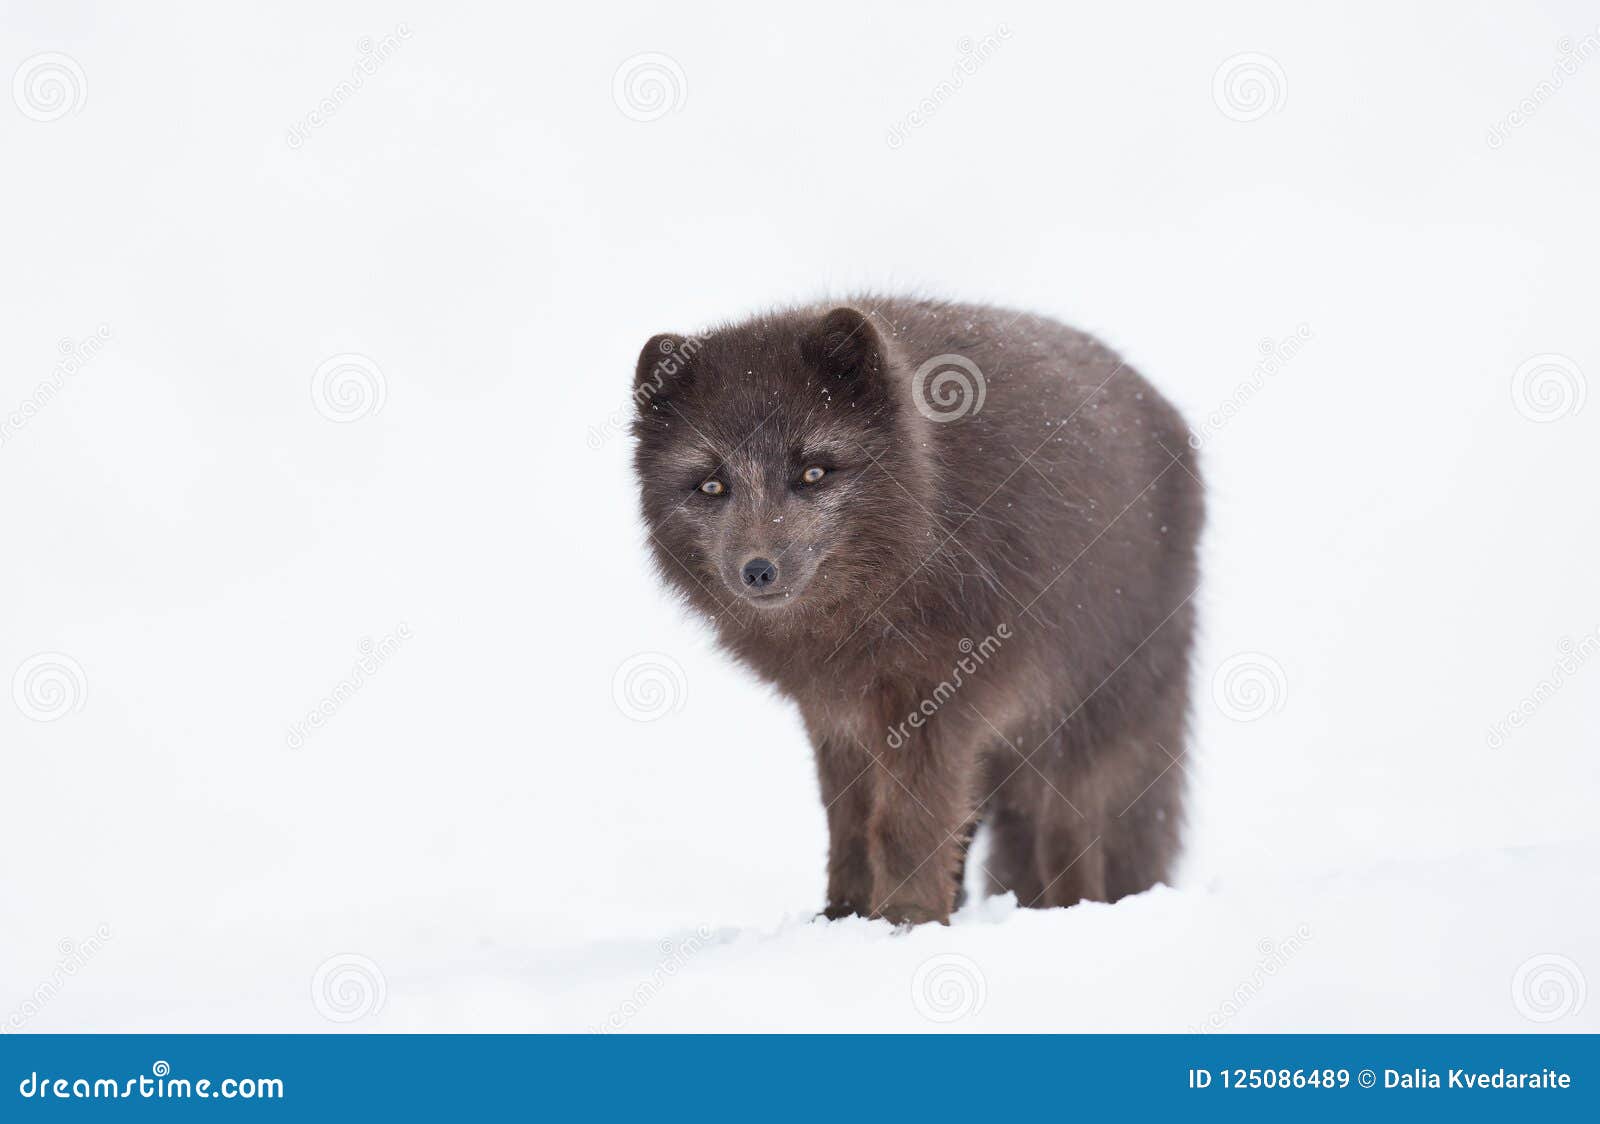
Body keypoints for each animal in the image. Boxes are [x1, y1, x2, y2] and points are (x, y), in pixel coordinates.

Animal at [631, 298, 1203, 925]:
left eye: (812, 472)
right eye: (712, 485)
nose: (757, 570)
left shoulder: (936, 699)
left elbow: (905, 824)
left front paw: (907, 920)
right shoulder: (836, 711)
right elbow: (850, 825)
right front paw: (845, 917)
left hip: (1086, 720)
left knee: (1073, 832)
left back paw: (1074, 911)